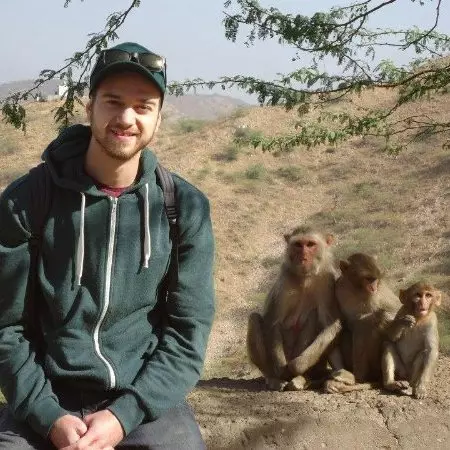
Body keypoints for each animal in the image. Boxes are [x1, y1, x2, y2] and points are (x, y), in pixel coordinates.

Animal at [244, 227, 354, 392]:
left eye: (310, 244)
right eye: (298, 245)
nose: (303, 255)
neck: (305, 277)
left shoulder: (327, 281)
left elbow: (330, 324)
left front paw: (297, 366)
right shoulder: (284, 280)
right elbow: (273, 322)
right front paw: (280, 368)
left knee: (315, 316)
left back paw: (302, 378)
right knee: (254, 319)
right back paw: (274, 378)